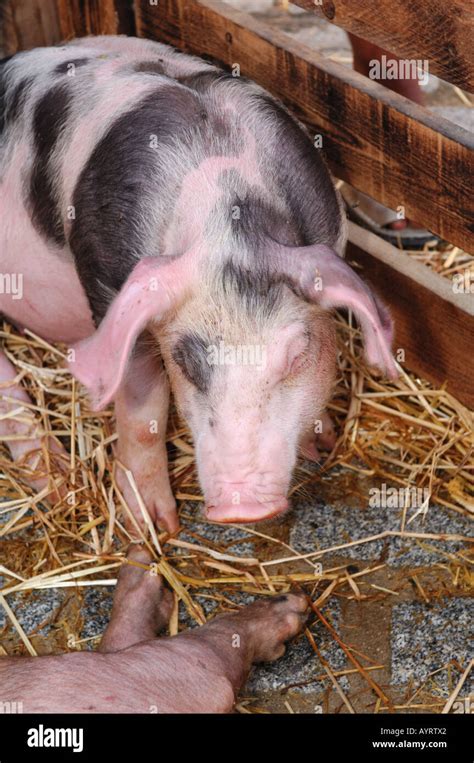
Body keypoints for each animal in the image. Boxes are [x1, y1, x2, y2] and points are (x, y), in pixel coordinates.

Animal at [0, 35, 396, 533]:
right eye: (184, 363)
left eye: (296, 357)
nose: (241, 508)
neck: (222, 201)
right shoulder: (107, 286)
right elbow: (142, 414)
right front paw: (153, 528)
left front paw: (320, 446)